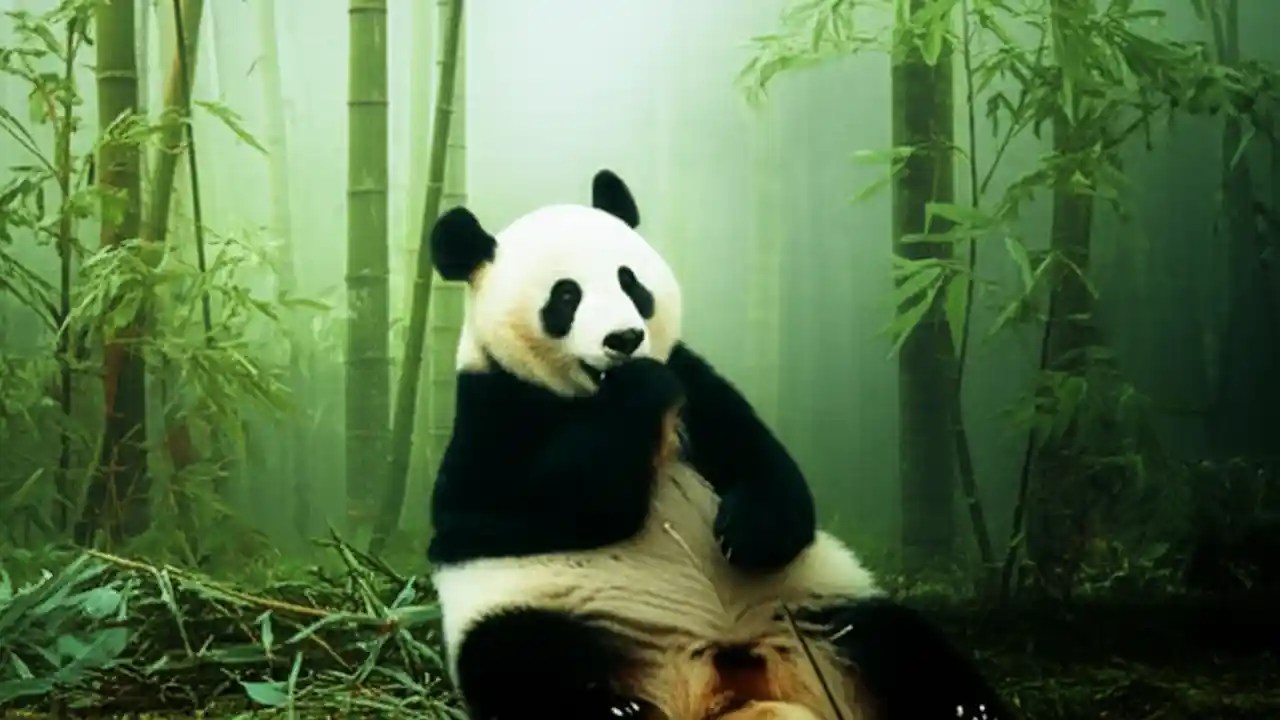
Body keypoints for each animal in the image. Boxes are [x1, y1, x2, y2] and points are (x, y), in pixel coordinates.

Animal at [426, 169, 1013, 720]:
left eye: (630, 282)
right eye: (566, 296)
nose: (625, 339)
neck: (590, 395)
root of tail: (726, 681)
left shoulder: (695, 384)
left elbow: (764, 464)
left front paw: (746, 534)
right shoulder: (493, 411)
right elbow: (528, 507)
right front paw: (638, 391)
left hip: (822, 617)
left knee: (909, 655)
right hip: (555, 619)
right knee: (526, 666)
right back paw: (613, 707)